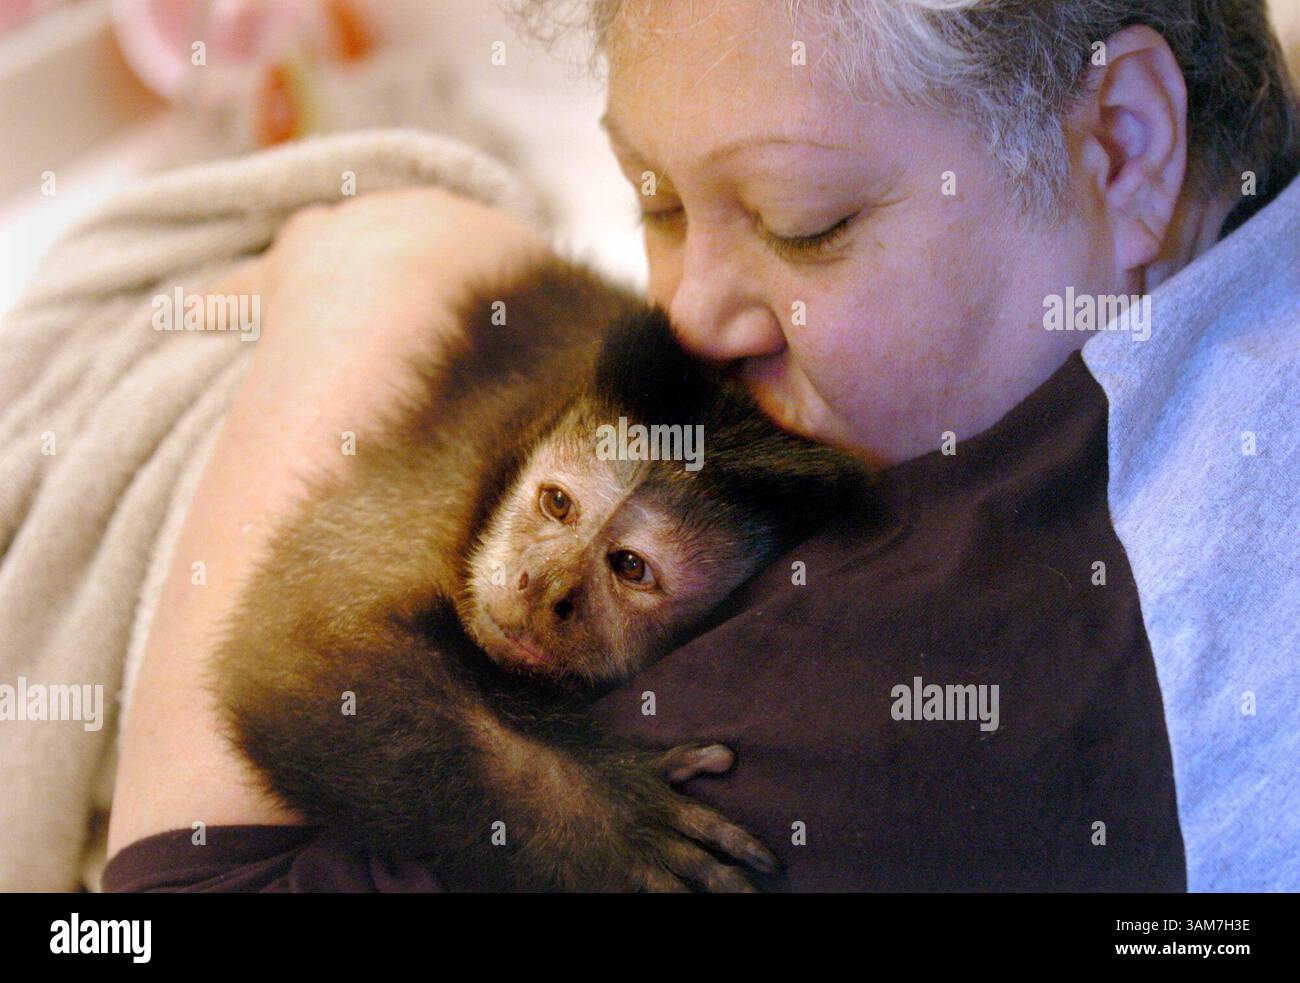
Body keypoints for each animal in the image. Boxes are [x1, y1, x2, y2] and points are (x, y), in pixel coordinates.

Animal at [210, 253, 870, 892]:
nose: (542, 588)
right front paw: (599, 822)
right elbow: (294, 643)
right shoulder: (466, 462)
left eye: (630, 567)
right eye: (557, 503)